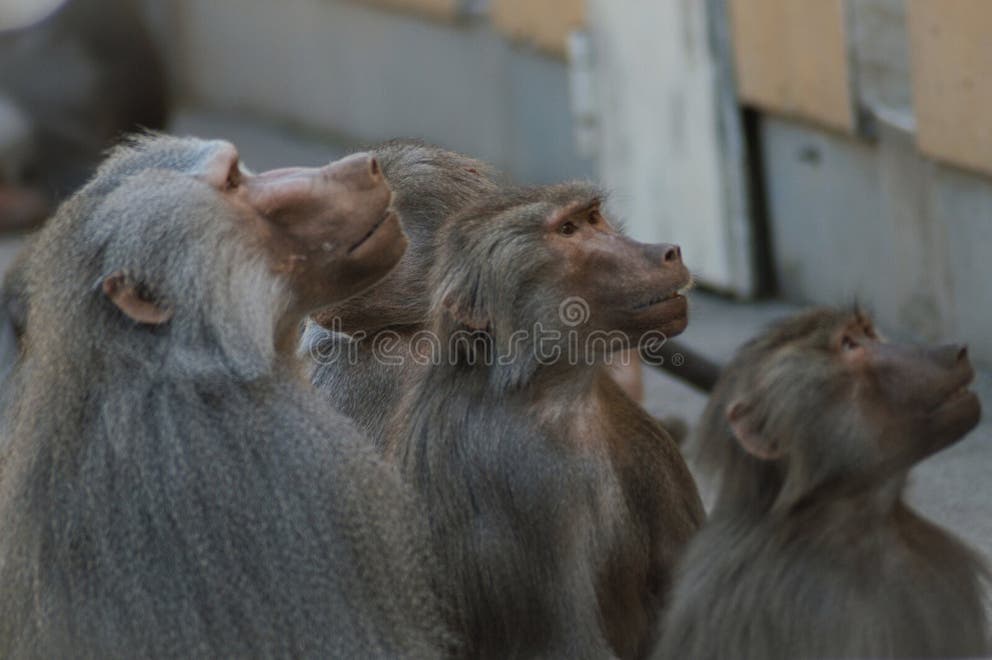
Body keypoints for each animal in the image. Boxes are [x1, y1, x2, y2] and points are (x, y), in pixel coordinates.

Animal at [383, 183, 706, 659]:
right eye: (567, 230)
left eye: (594, 218)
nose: (668, 252)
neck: (550, 394)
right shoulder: (522, 482)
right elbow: (562, 643)